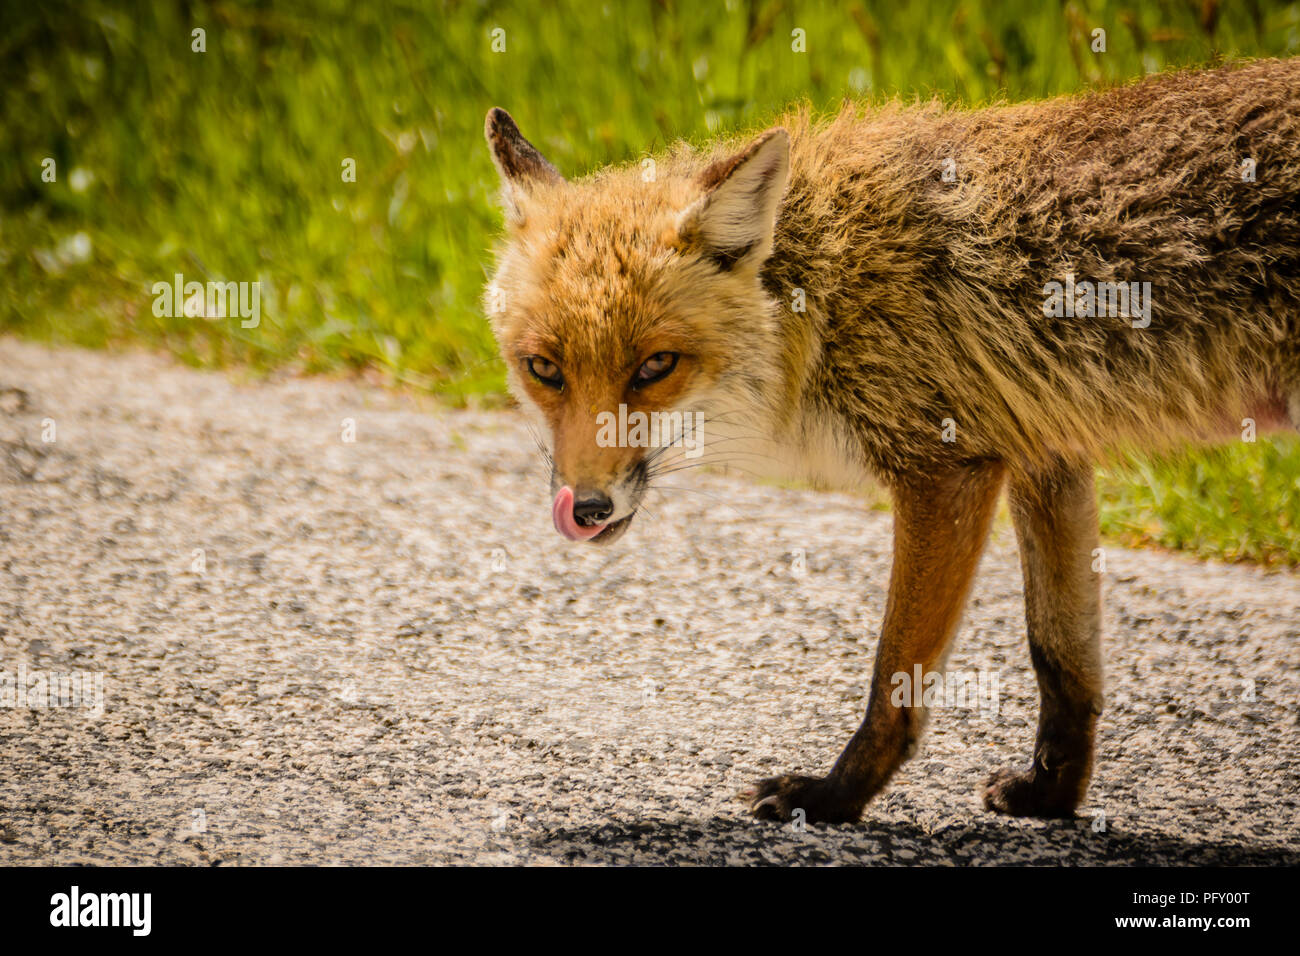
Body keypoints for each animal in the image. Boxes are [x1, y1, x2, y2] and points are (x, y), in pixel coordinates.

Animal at [482, 58, 1300, 824]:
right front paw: (1053, 797)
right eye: (544, 369)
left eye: (656, 366)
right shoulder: (1046, 451)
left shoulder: (948, 468)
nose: (583, 508)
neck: (827, 292)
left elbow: (895, 677)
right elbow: (1061, 658)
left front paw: (835, 799)